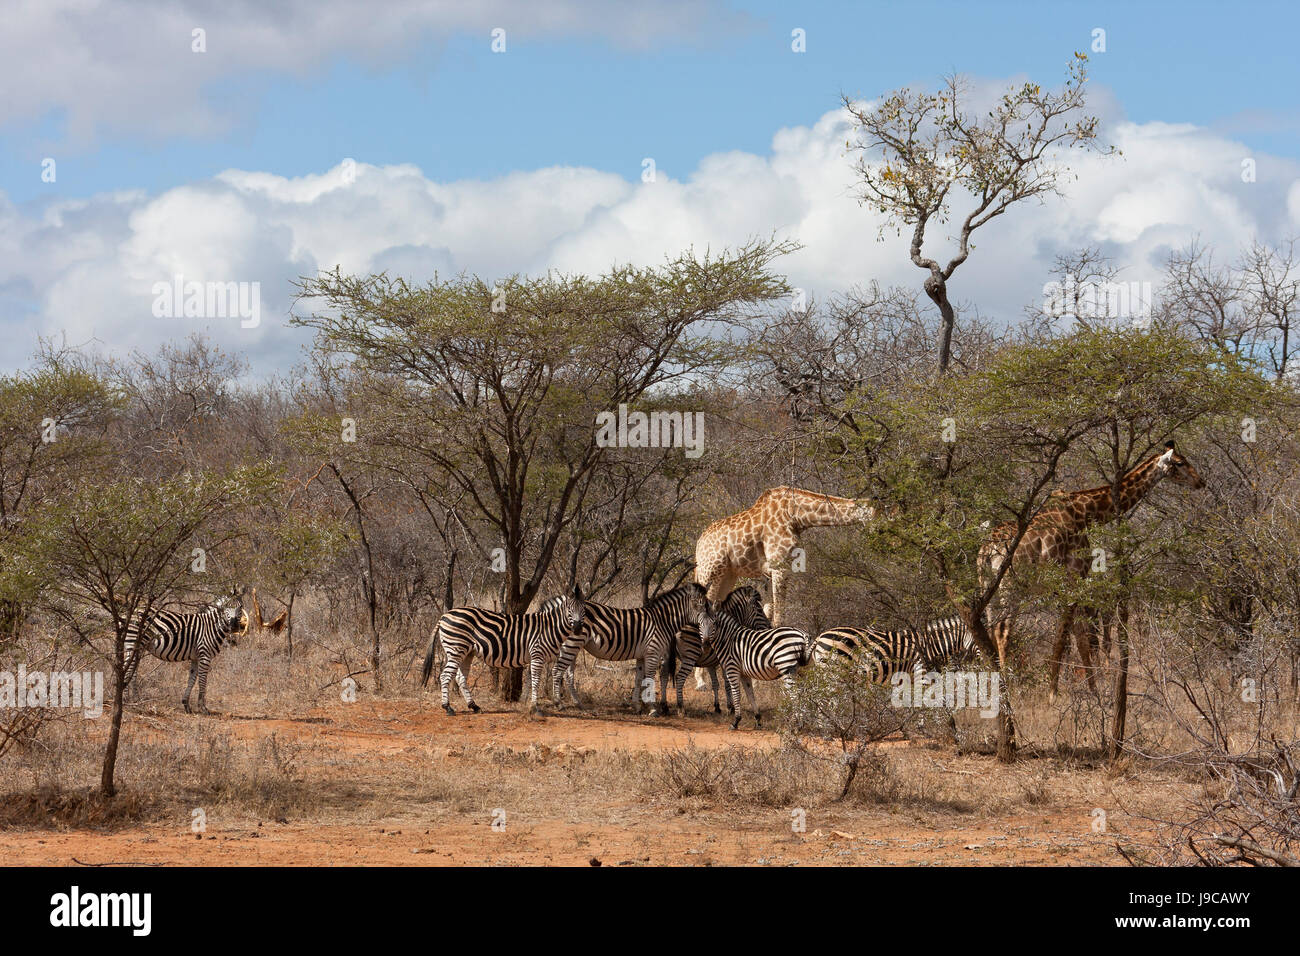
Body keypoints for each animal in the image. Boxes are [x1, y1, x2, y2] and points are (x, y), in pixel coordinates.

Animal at [978, 441, 1205, 697]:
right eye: (1180, 463)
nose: (1200, 482)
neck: (1087, 512)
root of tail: (988, 550)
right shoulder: (1073, 578)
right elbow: (1066, 637)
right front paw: (1053, 694)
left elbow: (1080, 639)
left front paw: (1093, 691)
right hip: (1013, 588)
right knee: (1003, 631)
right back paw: (1008, 689)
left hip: (988, 588)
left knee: (989, 630)